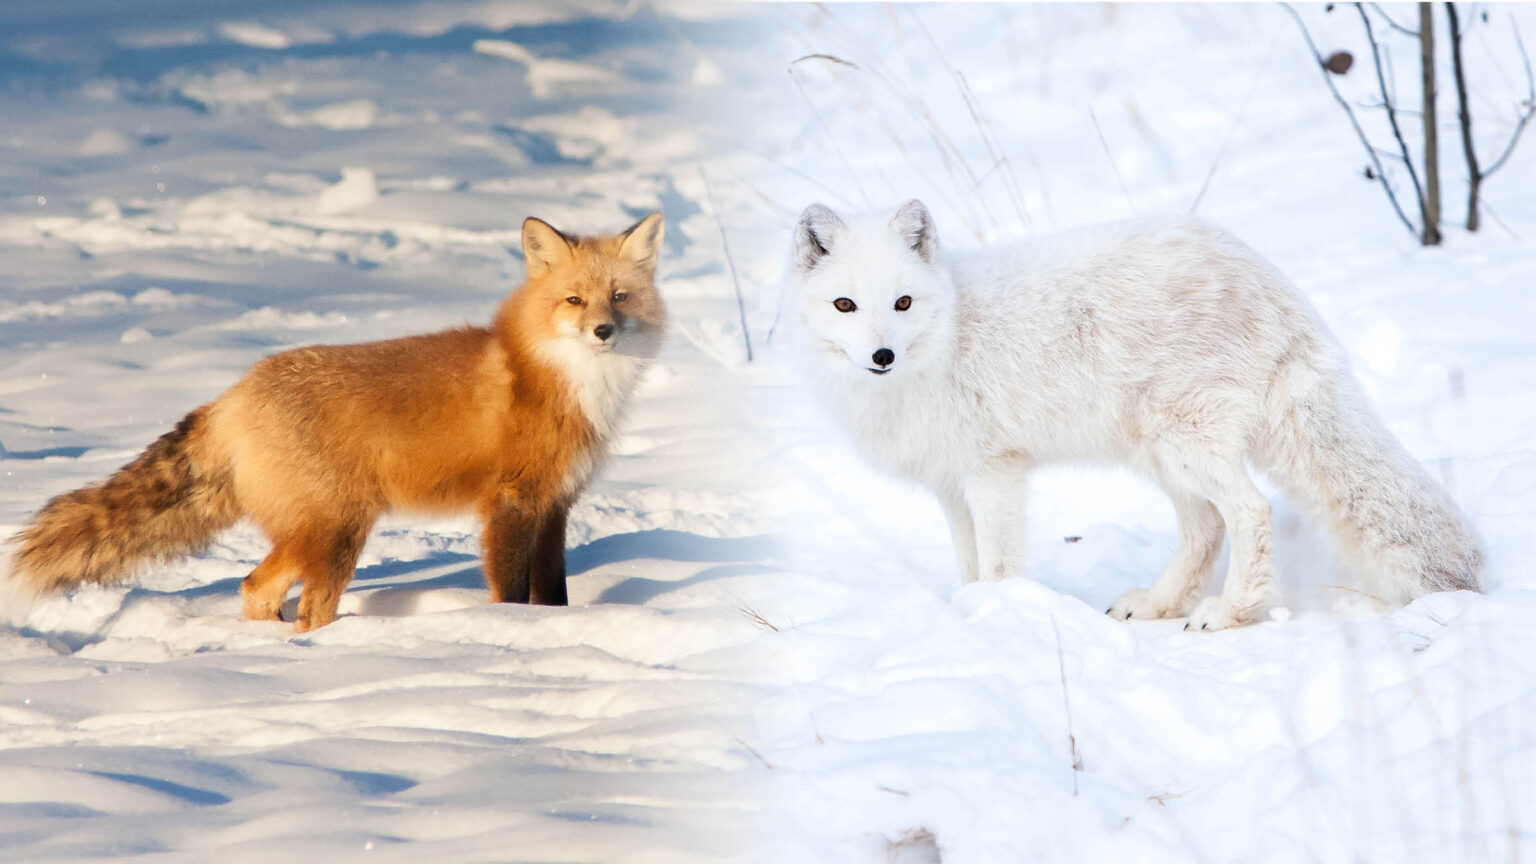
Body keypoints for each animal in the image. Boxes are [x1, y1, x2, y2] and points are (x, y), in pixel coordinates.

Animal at [6, 212, 666, 631]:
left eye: (619, 297)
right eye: (574, 300)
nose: (603, 331)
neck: (562, 379)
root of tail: (234, 394)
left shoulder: (556, 504)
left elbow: (553, 594)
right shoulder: (509, 503)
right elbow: (511, 594)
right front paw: (511, 633)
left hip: (319, 531)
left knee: (254, 589)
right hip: (339, 531)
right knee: (304, 608)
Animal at [788, 200, 1483, 630]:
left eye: (903, 303)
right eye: (846, 305)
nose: (881, 355)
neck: (947, 338)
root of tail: (1268, 280)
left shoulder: (995, 474)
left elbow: (999, 567)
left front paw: (1002, 618)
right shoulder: (950, 485)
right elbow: (970, 567)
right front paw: (973, 613)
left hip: (1186, 446)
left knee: (1250, 514)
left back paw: (1226, 615)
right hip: (1158, 455)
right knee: (1206, 529)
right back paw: (1157, 604)